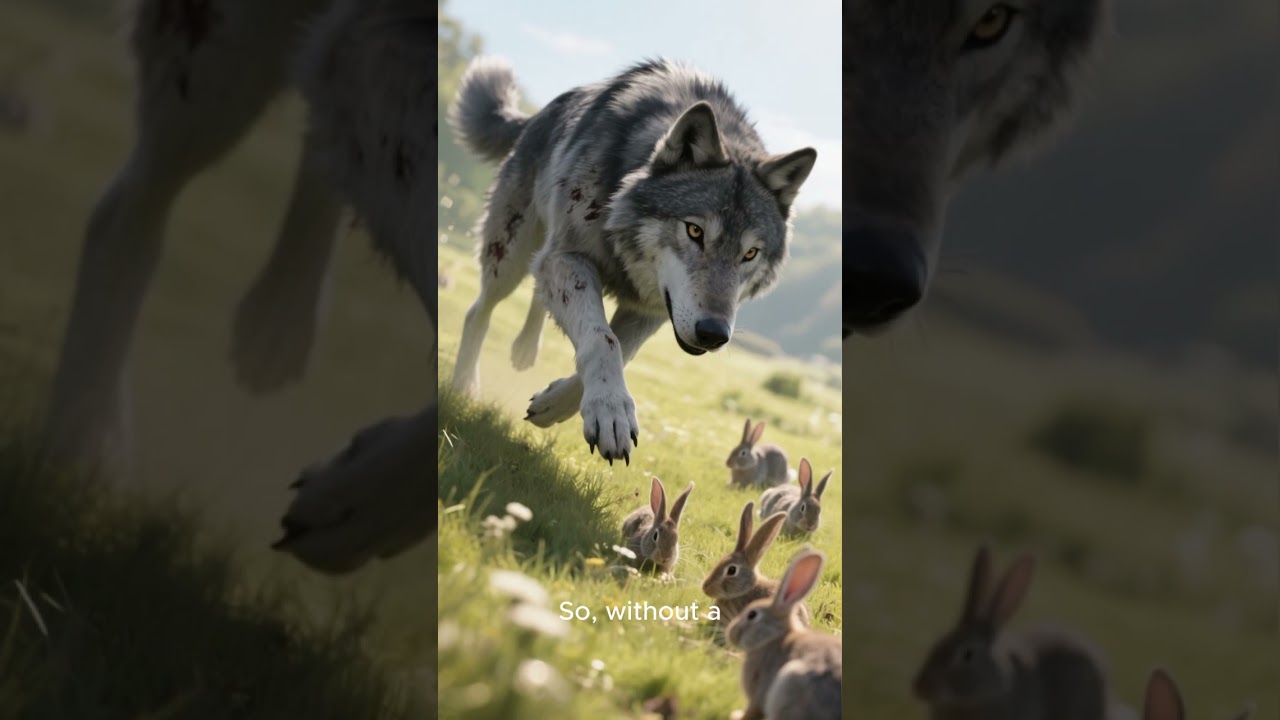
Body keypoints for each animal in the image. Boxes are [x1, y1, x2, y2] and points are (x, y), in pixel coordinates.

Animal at [448, 58, 817, 463]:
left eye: (749, 254)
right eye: (694, 231)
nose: (714, 334)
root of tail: (538, 115)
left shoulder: (651, 308)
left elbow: (622, 350)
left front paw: (553, 405)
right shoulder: (568, 257)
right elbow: (601, 339)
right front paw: (610, 413)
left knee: (536, 296)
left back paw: (525, 350)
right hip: (510, 256)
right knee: (477, 312)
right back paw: (464, 385)